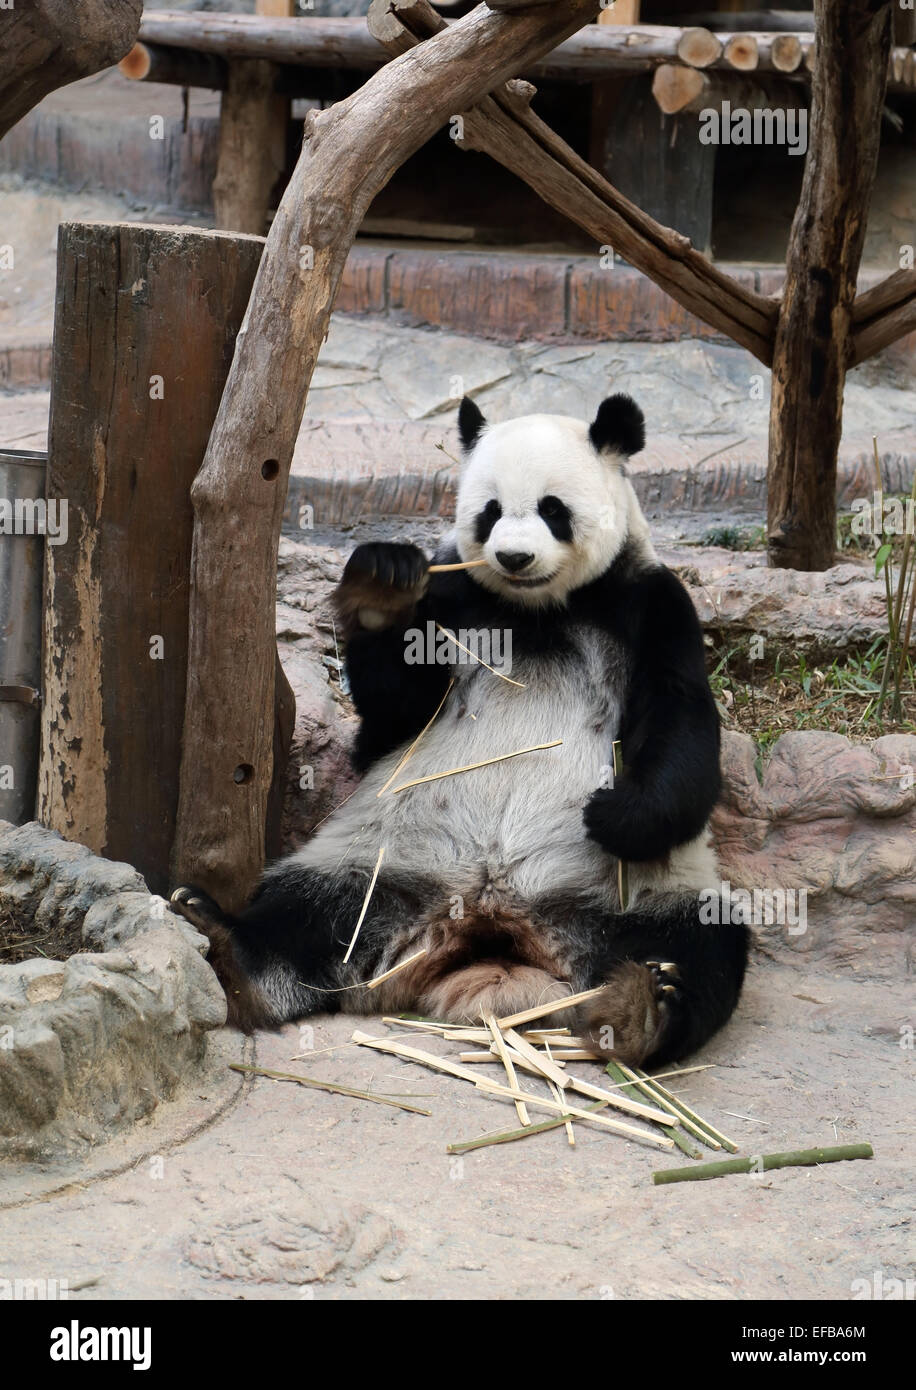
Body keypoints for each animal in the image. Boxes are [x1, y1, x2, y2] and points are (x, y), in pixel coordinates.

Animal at [172, 392, 749, 1067]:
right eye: (490, 511)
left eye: (553, 510)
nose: (514, 557)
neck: (537, 611)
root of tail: (491, 924)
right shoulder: (454, 593)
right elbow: (394, 720)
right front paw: (380, 587)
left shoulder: (650, 605)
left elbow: (682, 729)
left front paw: (615, 814)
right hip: (383, 864)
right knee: (309, 914)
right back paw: (225, 945)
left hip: (632, 895)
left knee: (700, 943)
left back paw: (644, 1007)